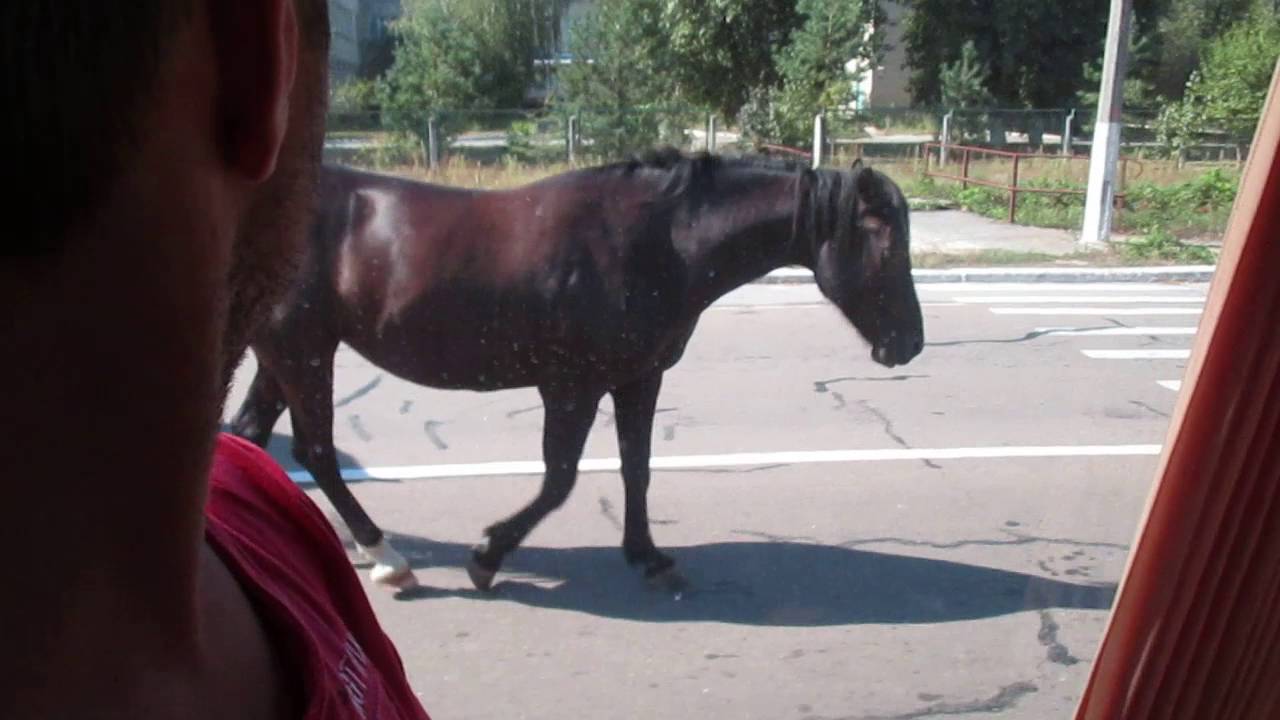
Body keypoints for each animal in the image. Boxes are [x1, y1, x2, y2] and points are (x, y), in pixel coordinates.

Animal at [229, 149, 924, 592]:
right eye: (887, 244)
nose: (910, 344)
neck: (656, 241)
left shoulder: (638, 378)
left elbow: (636, 468)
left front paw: (648, 557)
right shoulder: (573, 385)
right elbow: (559, 480)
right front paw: (488, 555)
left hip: (283, 353)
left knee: (253, 438)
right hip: (302, 349)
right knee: (316, 451)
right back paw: (386, 557)